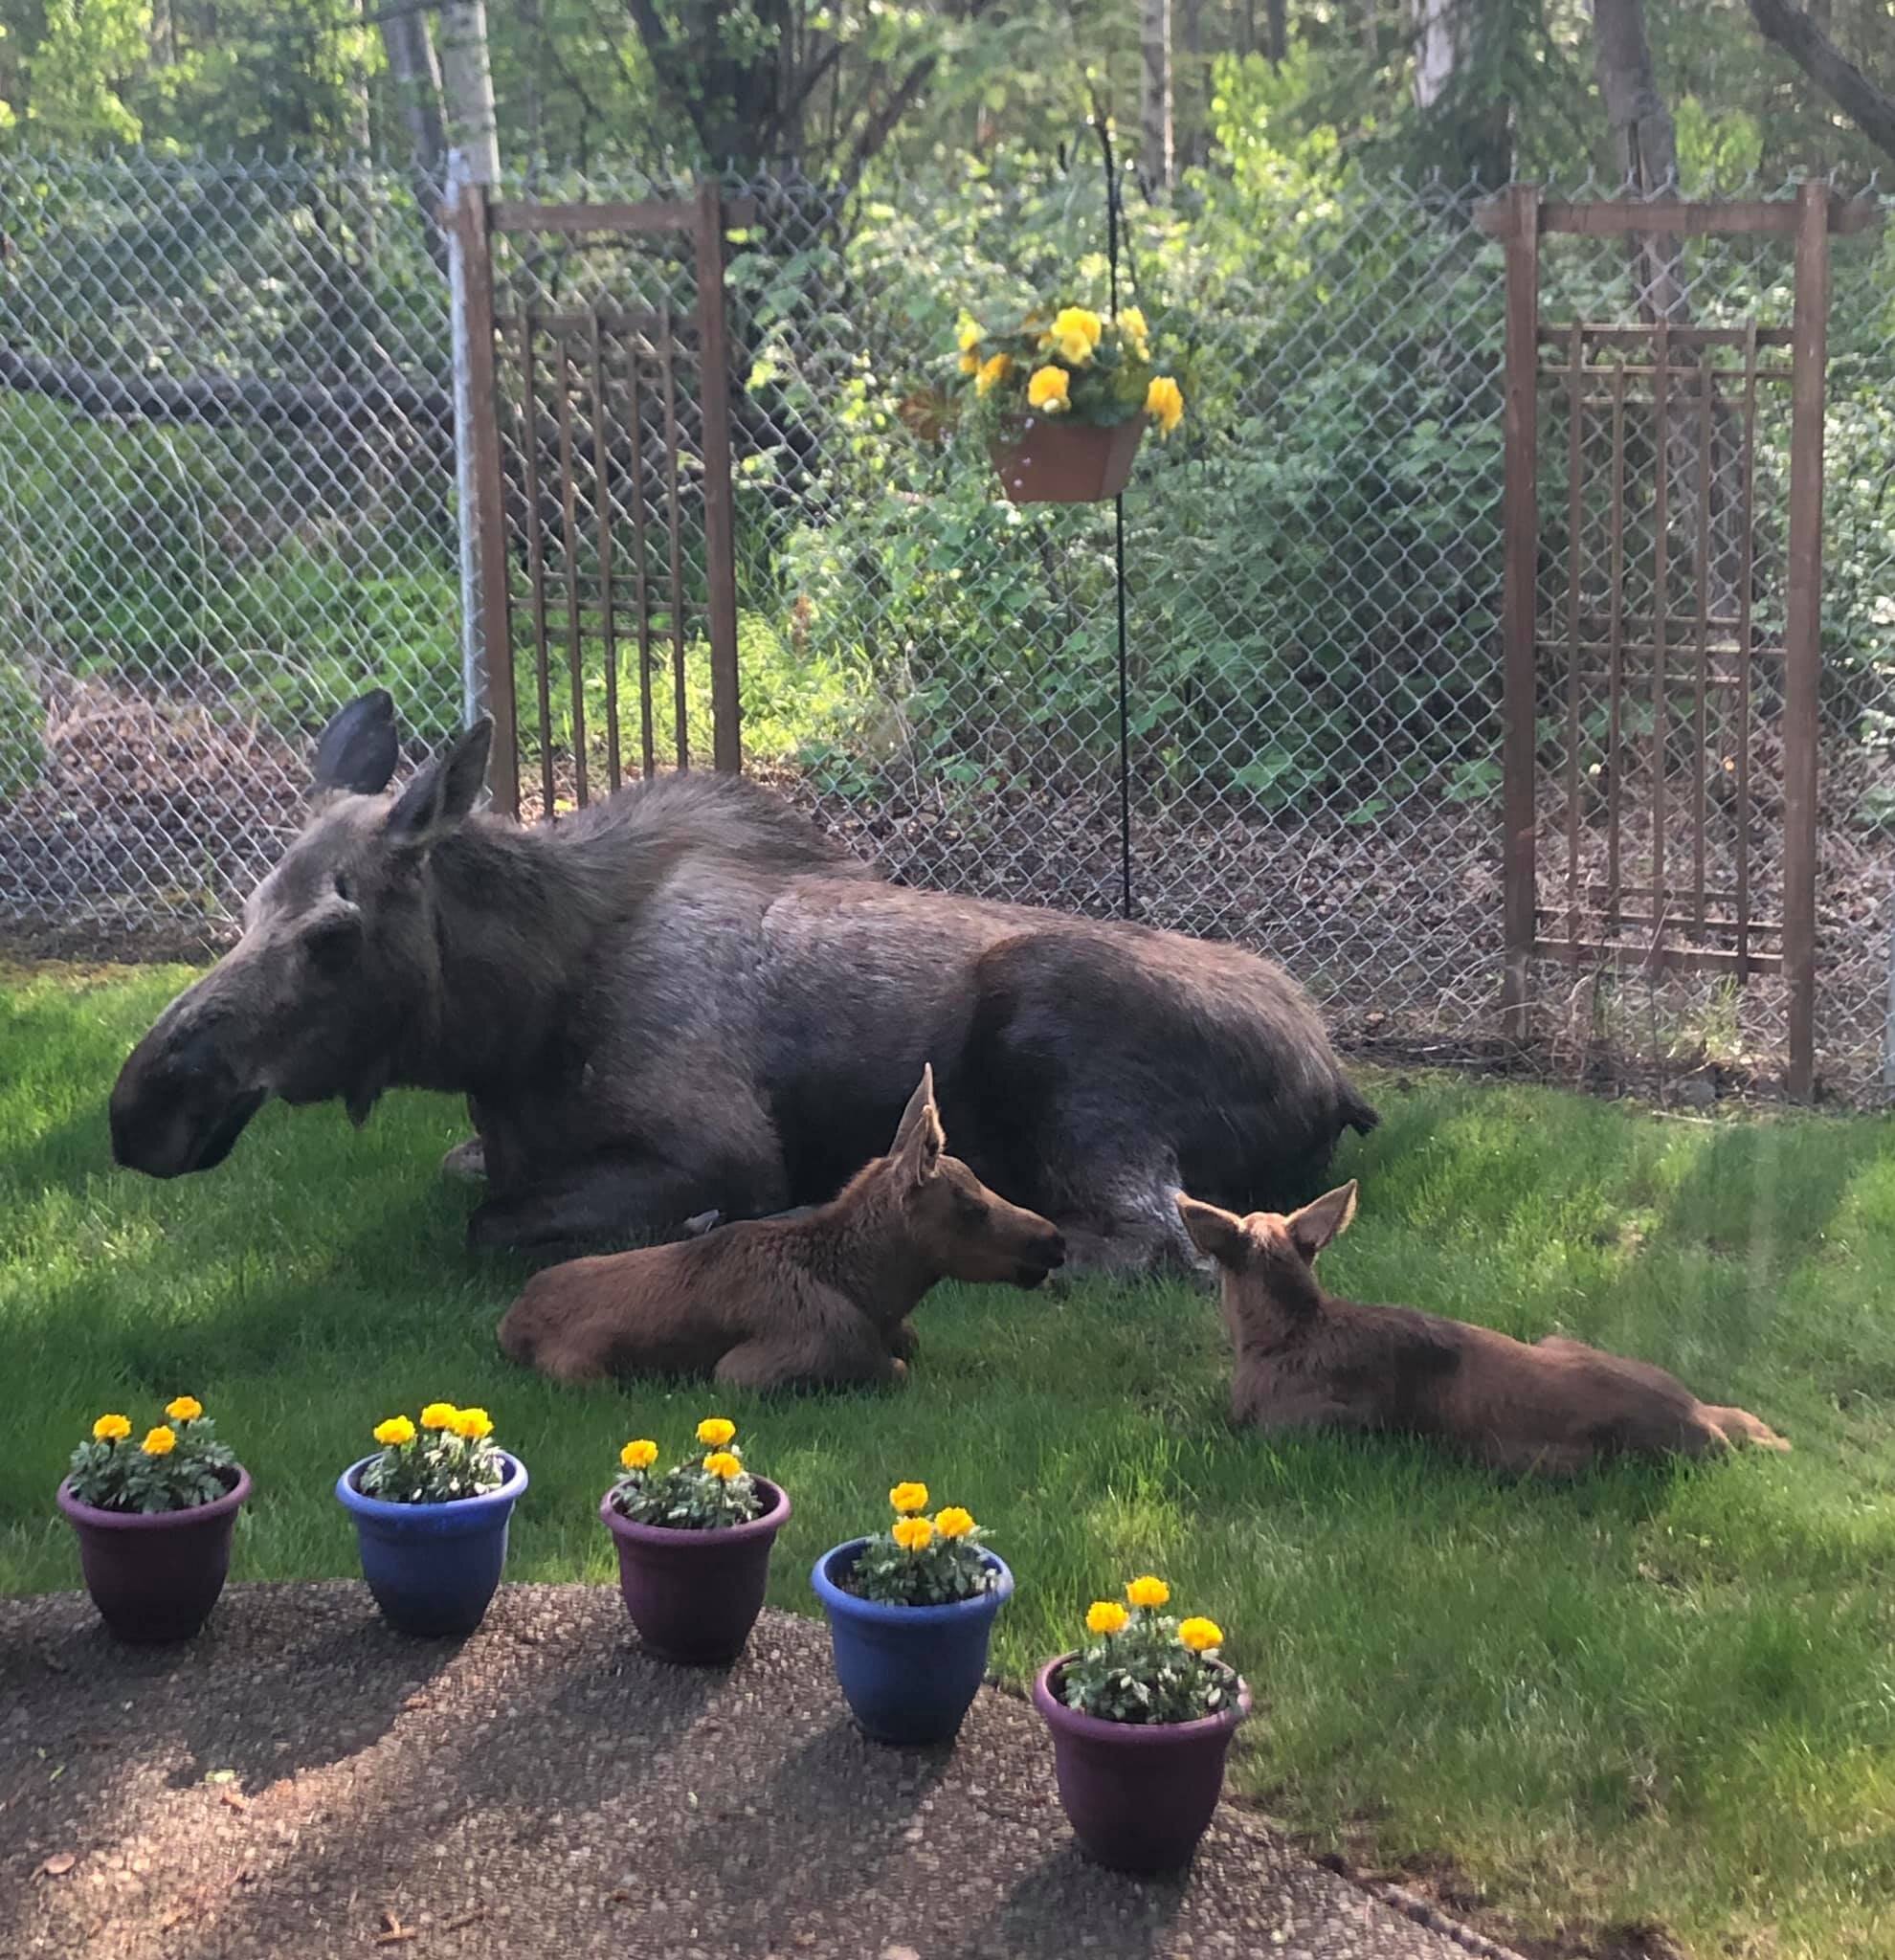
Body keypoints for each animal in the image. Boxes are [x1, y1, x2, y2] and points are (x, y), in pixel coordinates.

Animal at [497, 1068, 1066, 1392]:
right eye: (972, 1206)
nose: (1053, 1240)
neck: (874, 1297)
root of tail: (509, 1323)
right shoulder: (754, 1366)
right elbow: (895, 1370)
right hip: (582, 1372)